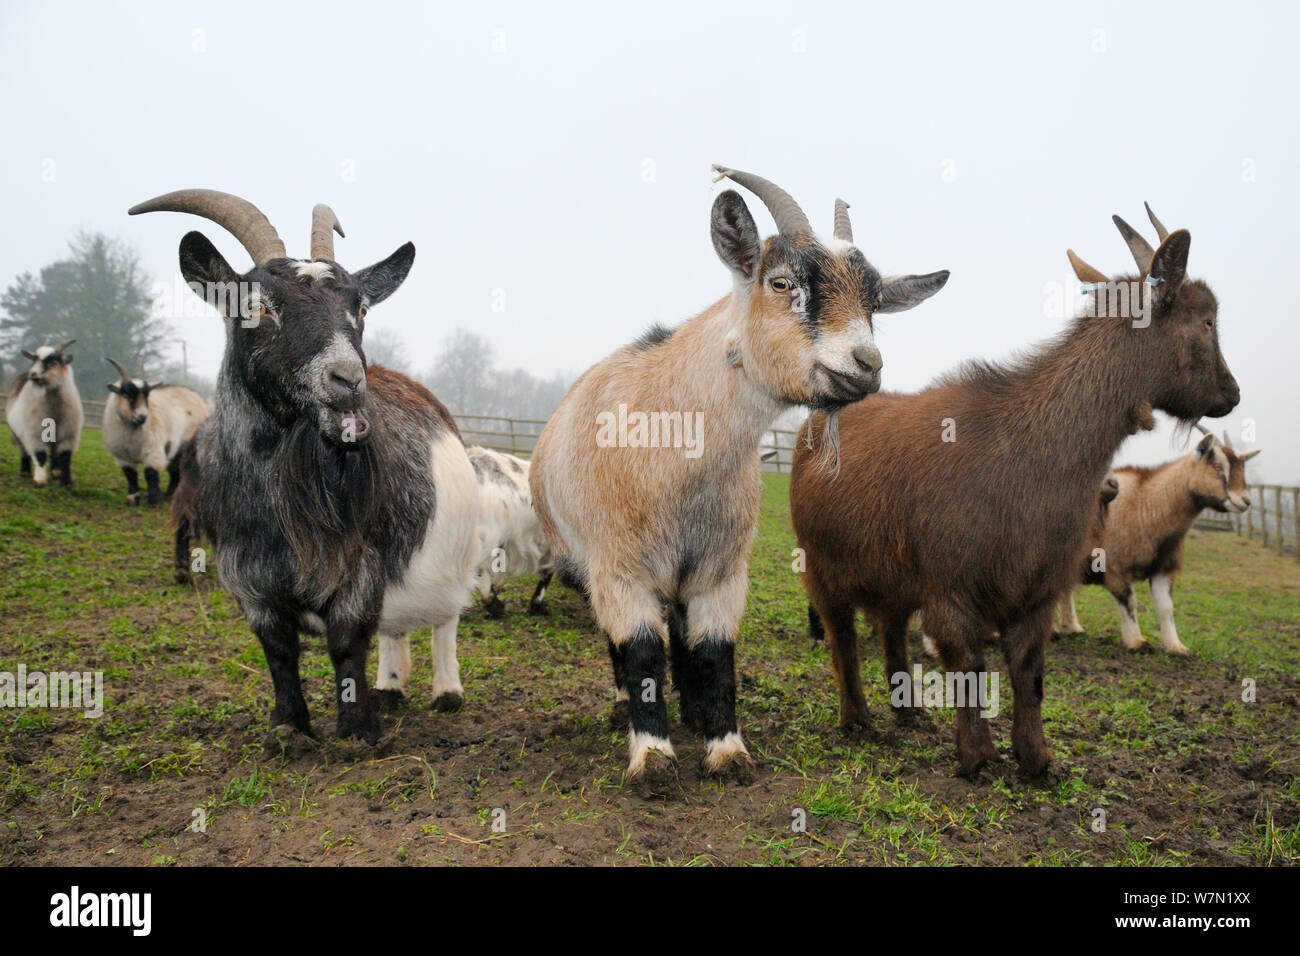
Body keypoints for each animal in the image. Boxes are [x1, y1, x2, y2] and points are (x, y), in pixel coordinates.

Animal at [6, 340, 83, 488]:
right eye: (33, 360)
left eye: (53, 362)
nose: (33, 374)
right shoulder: (34, 433)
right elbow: (40, 455)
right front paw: (40, 480)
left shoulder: (69, 434)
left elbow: (65, 457)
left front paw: (67, 482)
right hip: (16, 431)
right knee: (24, 450)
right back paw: (25, 472)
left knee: (53, 452)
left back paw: (55, 472)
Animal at [102, 358, 211, 505]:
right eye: (125, 393)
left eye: (147, 394)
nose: (142, 416)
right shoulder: (122, 457)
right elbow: (130, 475)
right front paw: (133, 499)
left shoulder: (153, 451)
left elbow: (151, 474)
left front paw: (154, 500)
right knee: (174, 470)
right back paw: (169, 495)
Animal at [130, 190, 480, 742]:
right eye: (256, 305)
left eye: (360, 307)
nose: (348, 380)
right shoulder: (248, 577)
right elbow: (278, 649)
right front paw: (289, 728)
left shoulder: (359, 568)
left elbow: (345, 641)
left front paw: (358, 730)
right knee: (395, 629)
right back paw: (391, 685)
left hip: (456, 557)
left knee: (446, 620)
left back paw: (446, 692)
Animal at [530, 167, 949, 777]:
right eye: (780, 282)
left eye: (873, 301)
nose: (866, 366)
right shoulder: (620, 566)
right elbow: (640, 649)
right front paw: (652, 758)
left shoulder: (722, 567)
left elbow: (713, 649)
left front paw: (726, 748)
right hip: (584, 562)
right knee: (621, 640)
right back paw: (624, 704)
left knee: (680, 631)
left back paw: (688, 710)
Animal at [1056, 425, 1259, 654]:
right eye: (1217, 466)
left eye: (1242, 467)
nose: (1245, 501)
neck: (1145, 502)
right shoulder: (1116, 568)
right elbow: (1129, 602)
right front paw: (1137, 641)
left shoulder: (1164, 569)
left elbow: (1166, 608)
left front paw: (1176, 647)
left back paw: (1073, 627)